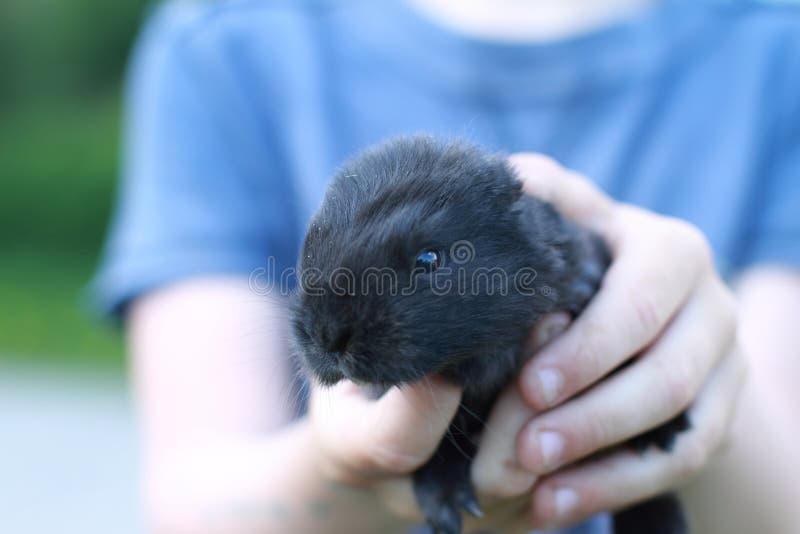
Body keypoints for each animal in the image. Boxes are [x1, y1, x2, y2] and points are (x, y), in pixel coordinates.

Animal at [290, 135, 690, 534]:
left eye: (428, 260)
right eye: (310, 252)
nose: (328, 336)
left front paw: (664, 429)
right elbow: (440, 448)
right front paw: (446, 500)